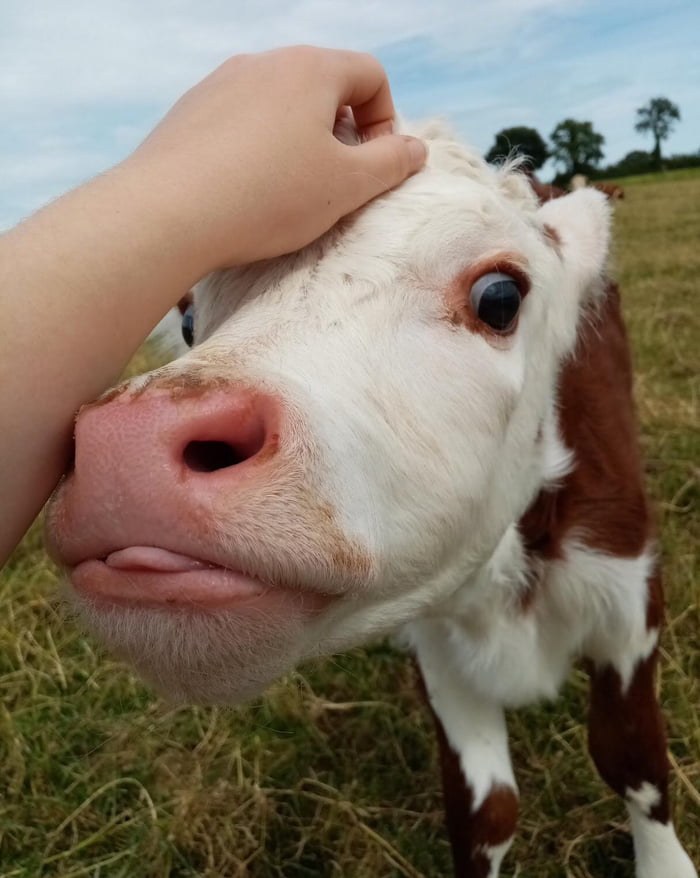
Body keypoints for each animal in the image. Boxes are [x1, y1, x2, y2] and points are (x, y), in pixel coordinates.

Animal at [46, 121, 696, 878]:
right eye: (186, 322)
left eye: (501, 298)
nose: (126, 450)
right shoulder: (439, 646)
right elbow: (486, 813)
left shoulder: (629, 599)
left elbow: (633, 761)